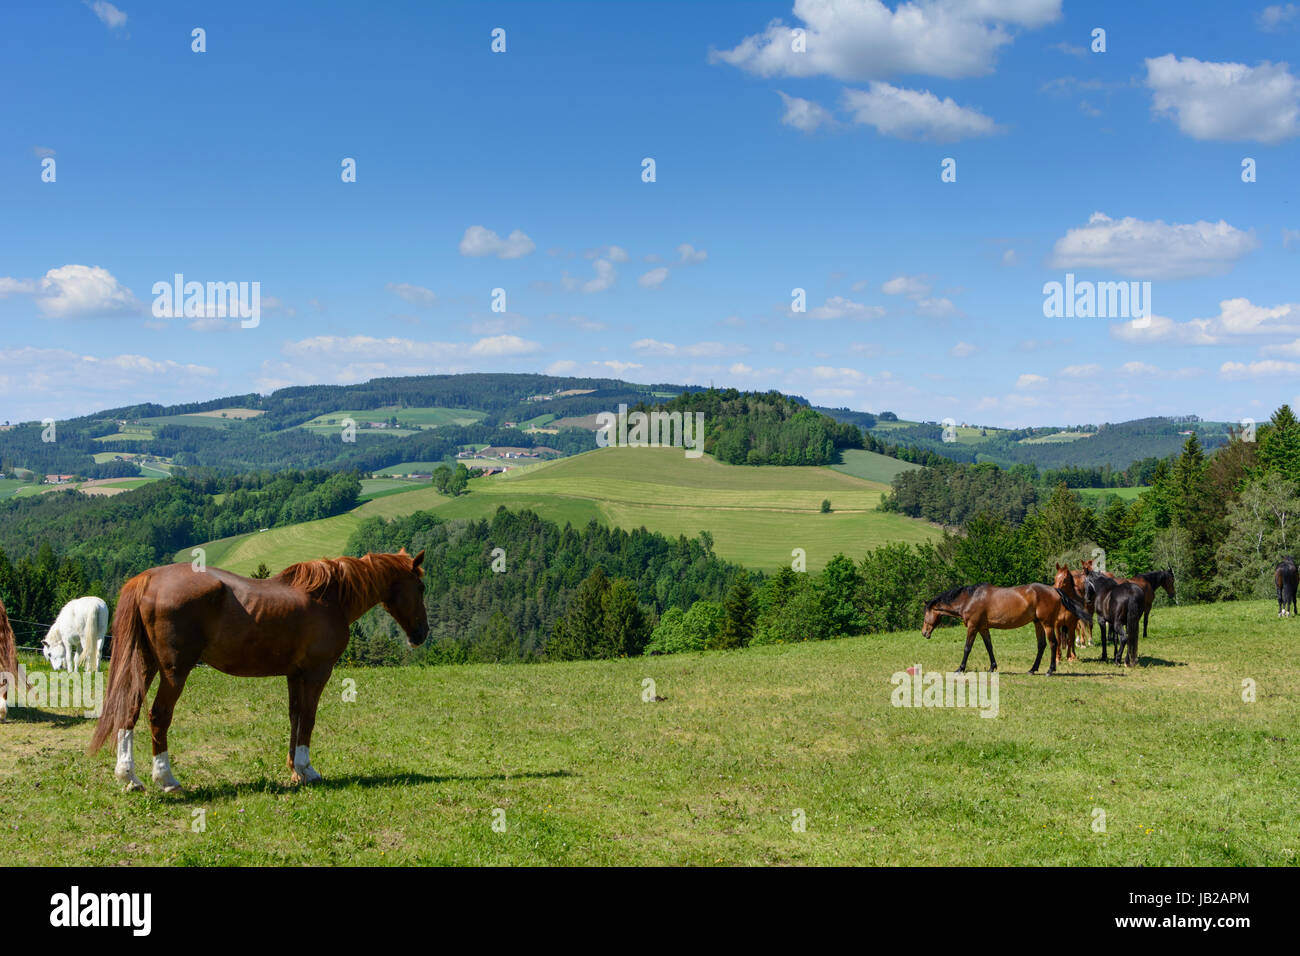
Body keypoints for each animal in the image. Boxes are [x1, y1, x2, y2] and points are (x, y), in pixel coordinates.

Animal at [89, 549, 428, 792]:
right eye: (422, 587)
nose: (422, 634)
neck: (329, 599)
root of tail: (148, 578)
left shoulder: (295, 674)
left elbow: (295, 717)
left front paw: (295, 770)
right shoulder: (317, 672)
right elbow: (309, 718)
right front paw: (308, 769)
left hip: (144, 664)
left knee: (129, 710)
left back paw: (129, 778)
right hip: (175, 670)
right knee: (159, 716)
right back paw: (167, 779)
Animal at [922, 582, 1091, 676]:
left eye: (925, 615)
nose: (924, 633)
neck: (969, 599)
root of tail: (1054, 590)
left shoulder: (973, 626)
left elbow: (967, 648)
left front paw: (960, 668)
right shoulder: (983, 628)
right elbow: (989, 647)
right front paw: (992, 667)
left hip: (1047, 624)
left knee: (1053, 644)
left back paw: (1050, 670)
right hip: (1037, 623)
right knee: (1041, 645)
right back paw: (1032, 669)